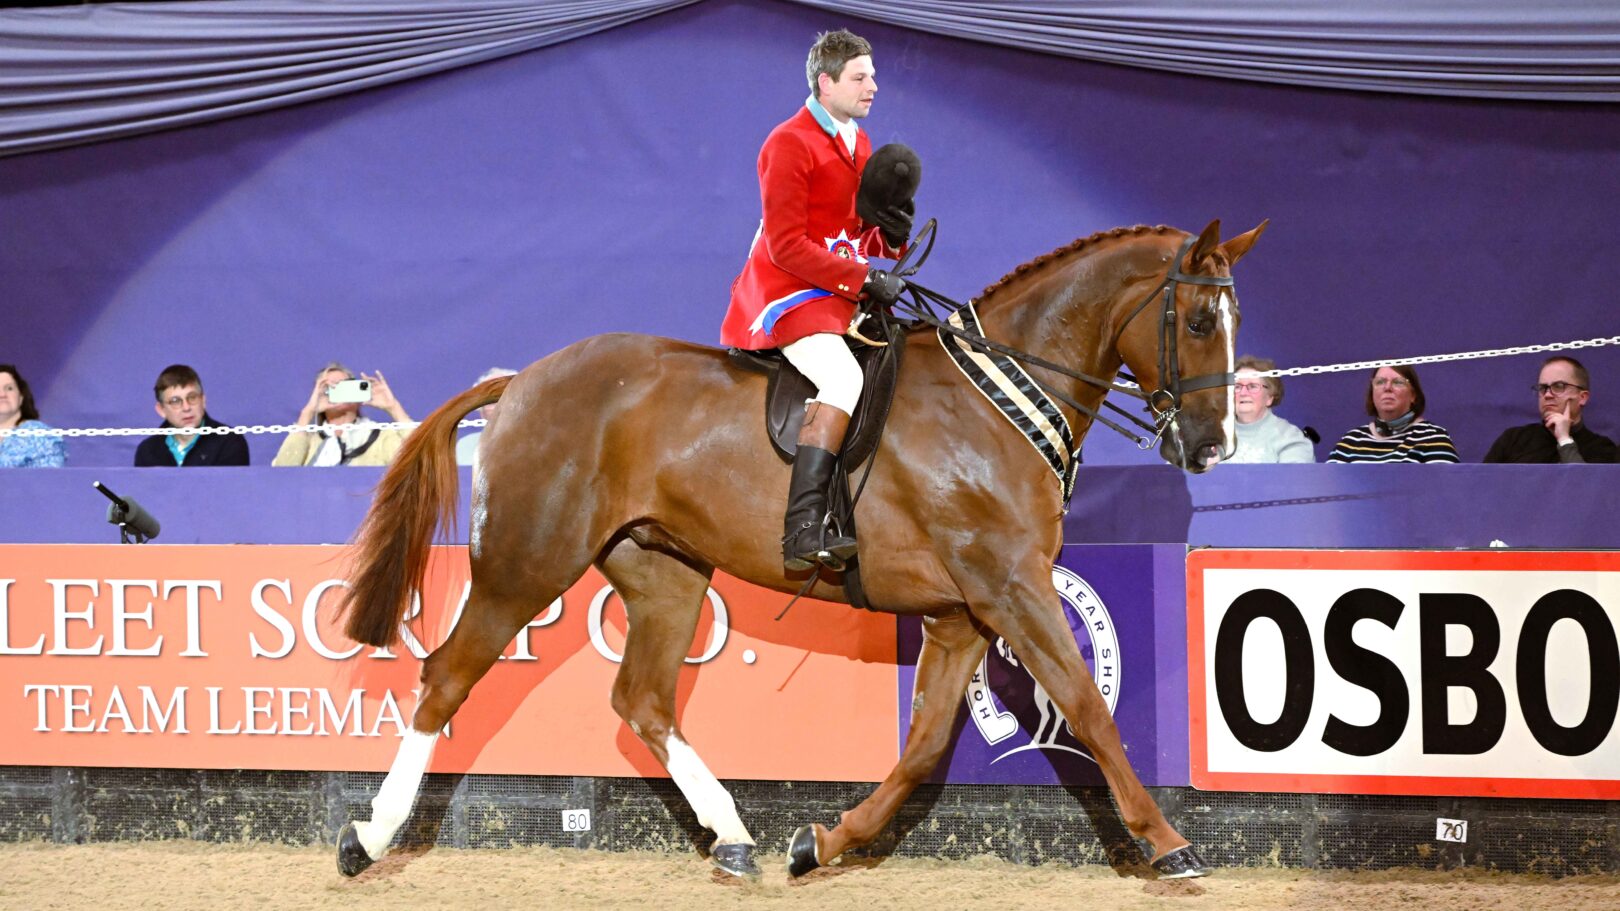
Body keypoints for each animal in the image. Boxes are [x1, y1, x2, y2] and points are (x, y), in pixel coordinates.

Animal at [332, 219, 1266, 881]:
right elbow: (1087, 705)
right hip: (525, 563)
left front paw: (821, 841)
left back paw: (735, 836)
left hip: (665, 573)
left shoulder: (962, 612)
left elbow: (924, 745)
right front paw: (1169, 843)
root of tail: (519, 379)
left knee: (643, 699)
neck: (995, 398)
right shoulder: (1011, 588)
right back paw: (368, 837)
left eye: (1234, 321)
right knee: (445, 678)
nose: (1213, 445)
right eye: (1195, 319)